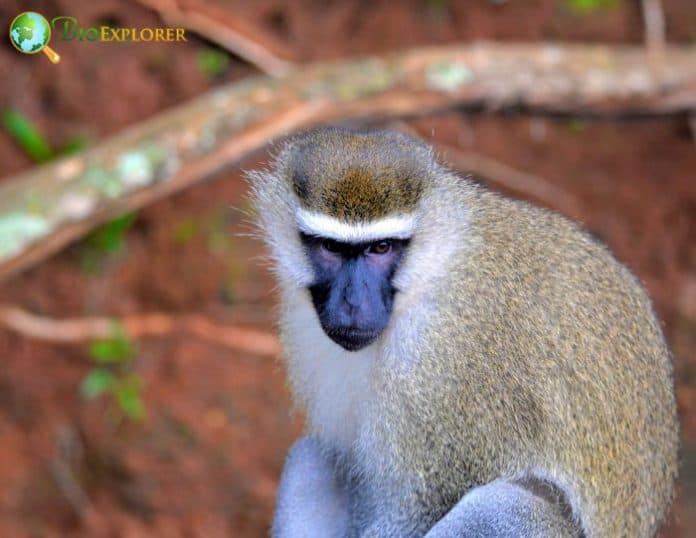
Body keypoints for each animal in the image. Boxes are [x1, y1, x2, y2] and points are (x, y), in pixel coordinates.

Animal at [248, 126, 679, 537]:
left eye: (381, 248)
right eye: (331, 249)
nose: (353, 303)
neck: (430, 270)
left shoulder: (439, 364)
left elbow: (424, 504)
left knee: (511, 506)